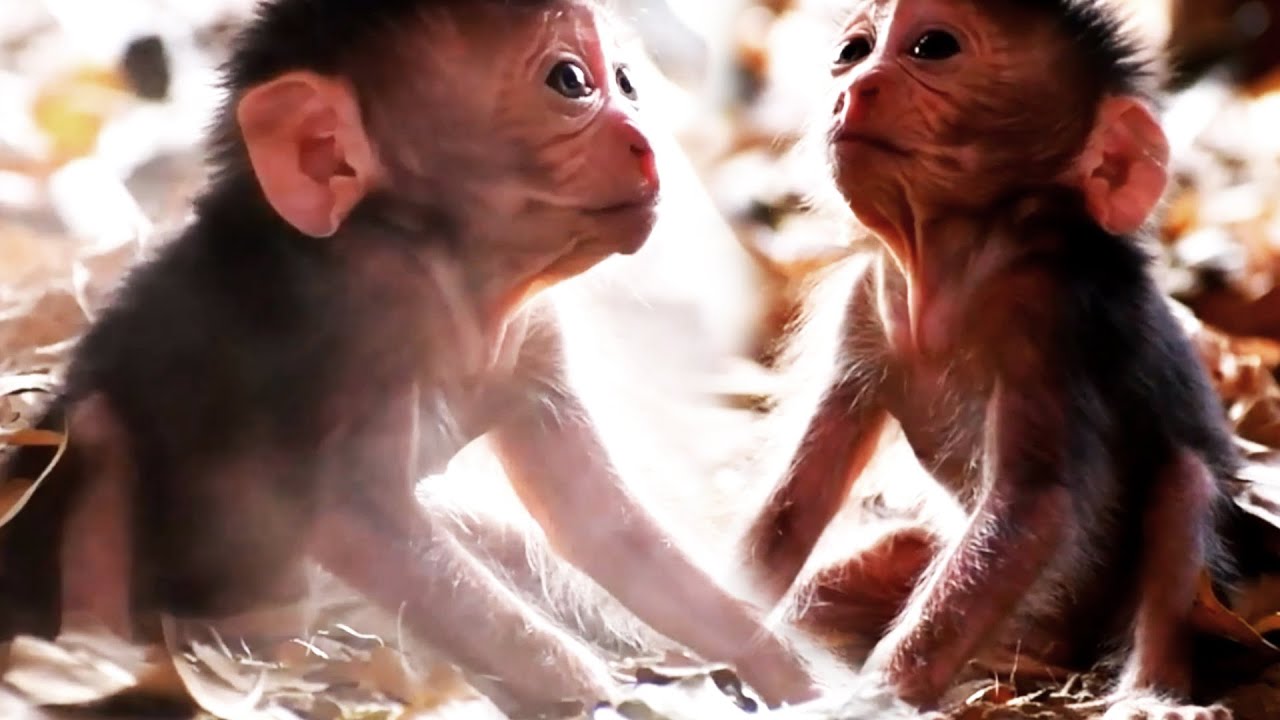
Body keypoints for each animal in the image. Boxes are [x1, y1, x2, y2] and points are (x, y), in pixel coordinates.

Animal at [0, 1, 825, 716]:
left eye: (625, 80)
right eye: (570, 82)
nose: (646, 141)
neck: (447, 271)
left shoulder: (535, 333)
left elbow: (604, 530)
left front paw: (793, 677)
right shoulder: (369, 318)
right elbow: (361, 524)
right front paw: (604, 701)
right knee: (100, 437)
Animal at [740, 1, 1246, 718]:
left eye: (933, 46)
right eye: (853, 51)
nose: (855, 87)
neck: (950, 276)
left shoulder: (1045, 314)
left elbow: (1033, 509)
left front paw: (878, 695)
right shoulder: (864, 301)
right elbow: (800, 492)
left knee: (1186, 483)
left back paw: (1148, 690)